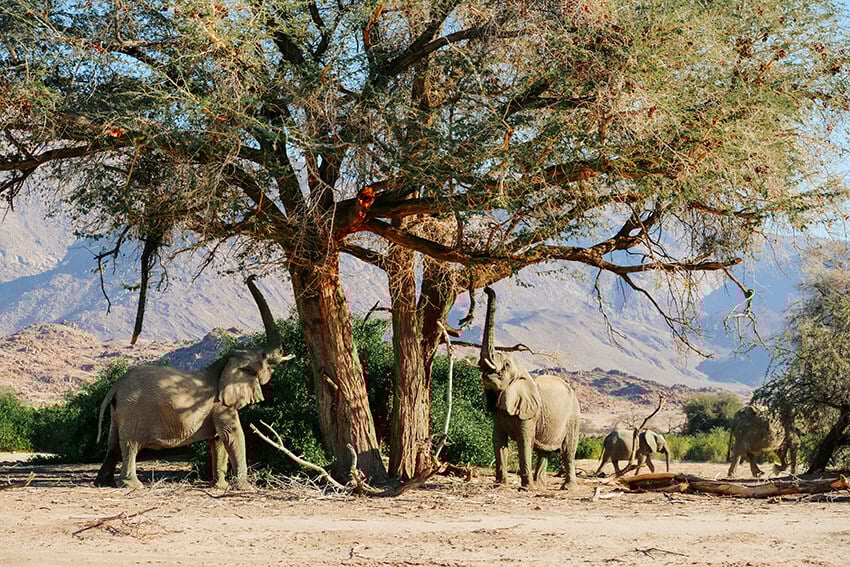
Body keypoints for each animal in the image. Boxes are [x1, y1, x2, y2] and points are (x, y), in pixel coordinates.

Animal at [478, 287, 581, 490]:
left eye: (506, 365)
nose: (487, 288)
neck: (521, 374)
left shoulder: (529, 413)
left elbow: (525, 442)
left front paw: (526, 489)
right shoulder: (499, 410)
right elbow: (498, 440)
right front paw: (500, 485)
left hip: (573, 417)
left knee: (568, 451)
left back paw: (567, 488)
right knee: (544, 451)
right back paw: (540, 485)